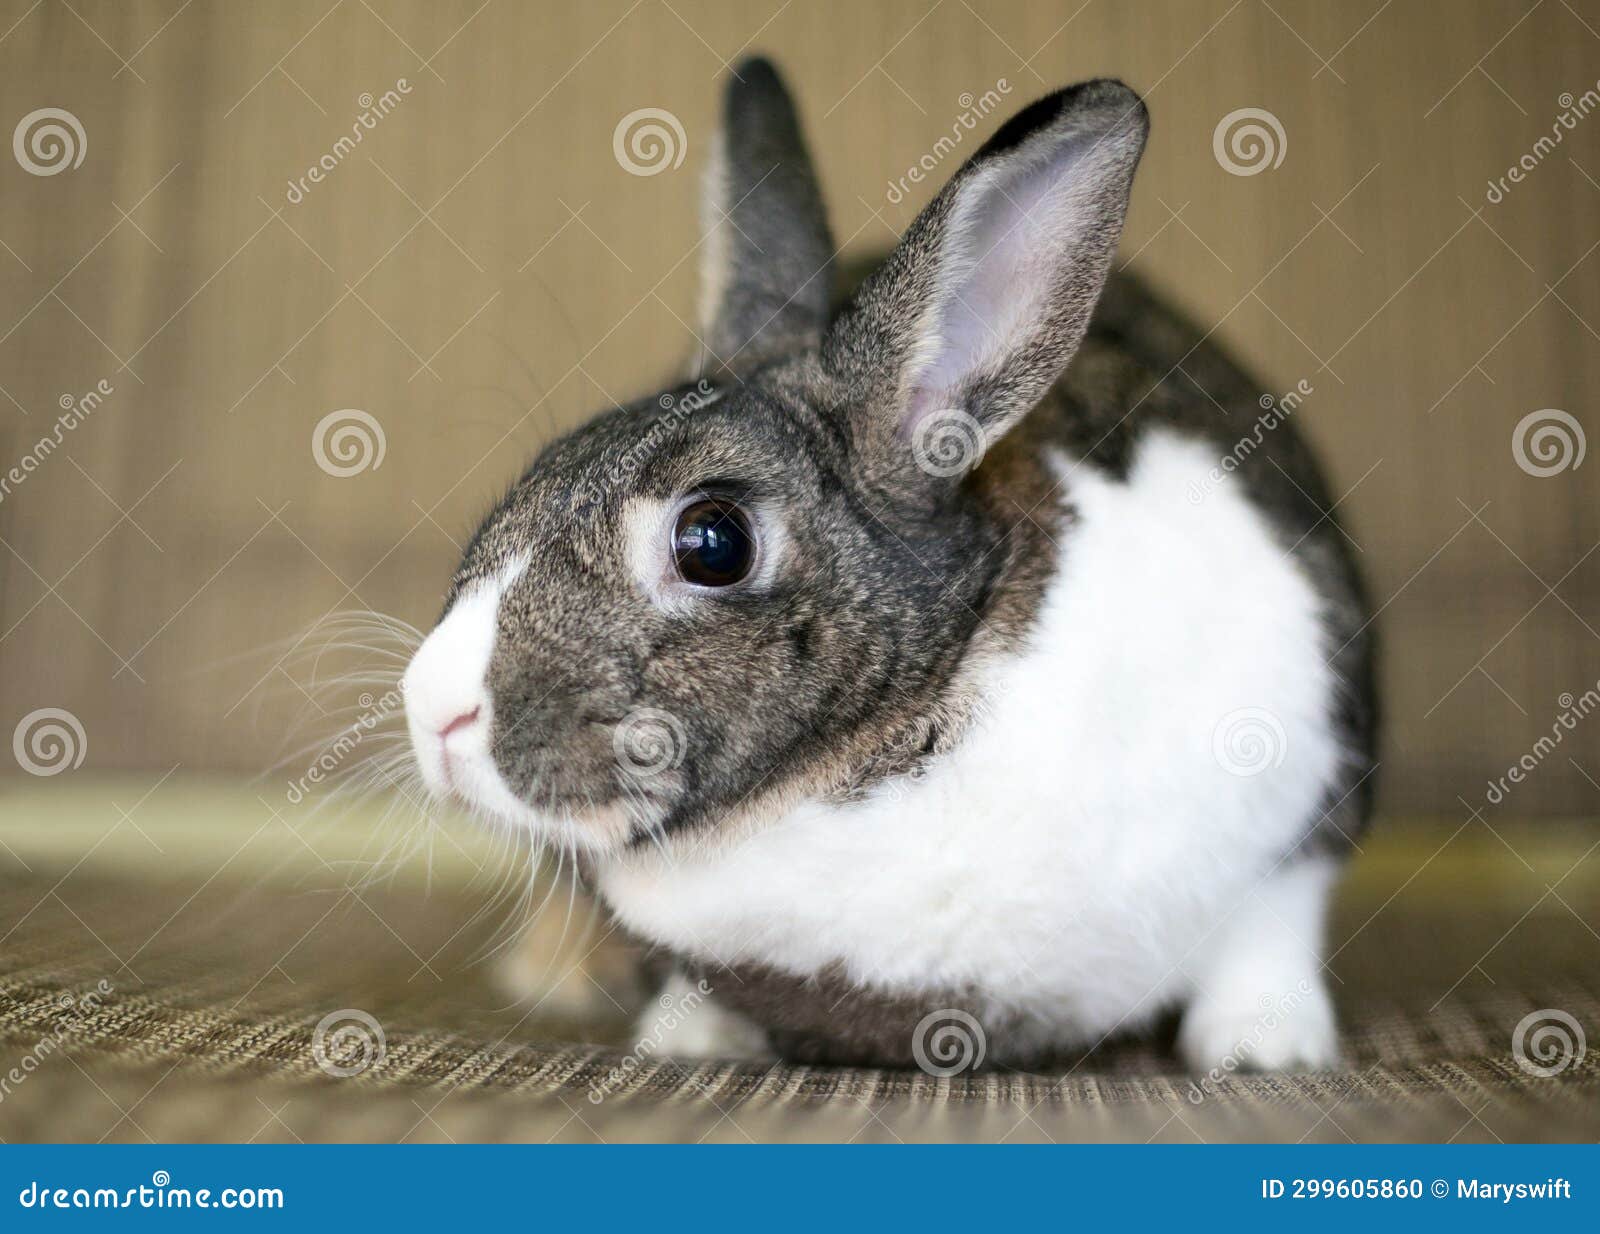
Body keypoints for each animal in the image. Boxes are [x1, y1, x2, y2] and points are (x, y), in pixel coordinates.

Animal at [402, 58, 1376, 1074]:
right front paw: (695, 1036)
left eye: (712, 541)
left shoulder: (1301, 815)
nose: (432, 708)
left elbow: (1270, 932)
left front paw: (1266, 1051)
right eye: (547, 465)